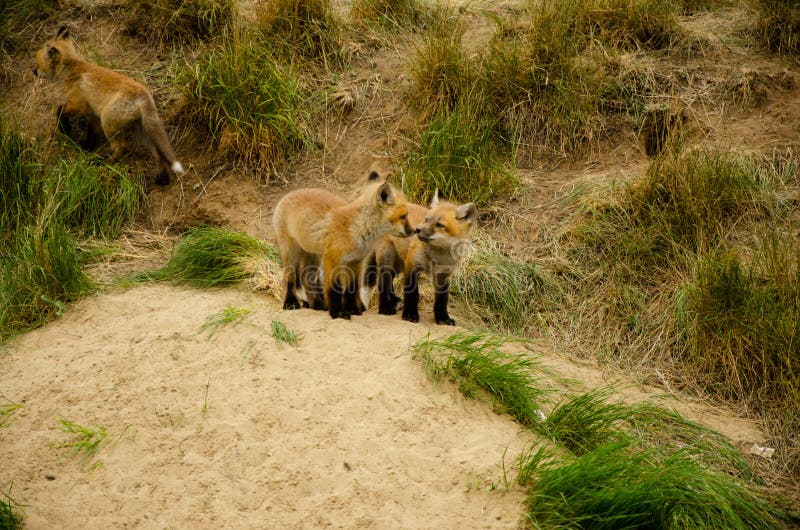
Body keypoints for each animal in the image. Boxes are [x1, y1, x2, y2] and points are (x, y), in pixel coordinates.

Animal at [33, 26, 185, 185]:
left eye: (38, 63)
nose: (34, 71)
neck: (72, 72)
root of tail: (144, 95)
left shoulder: (78, 104)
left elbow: (59, 111)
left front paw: (65, 129)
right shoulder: (93, 112)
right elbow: (91, 132)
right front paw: (87, 145)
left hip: (107, 121)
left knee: (121, 147)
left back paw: (104, 162)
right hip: (141, 131)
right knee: (157, 152)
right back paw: (162, 178)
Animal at [362, 191, 477, 325]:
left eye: (439, 225)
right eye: (426, 220)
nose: (416, 230)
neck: (437, 257)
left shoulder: (443, 275)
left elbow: (442, 300)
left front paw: (443, 318)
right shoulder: (412, 265)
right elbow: (412, 293)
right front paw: (410, 314)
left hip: (399, 264)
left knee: (389, 281)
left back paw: (395, 301)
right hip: (387, 256)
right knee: (383, 282)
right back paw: (385, 307)